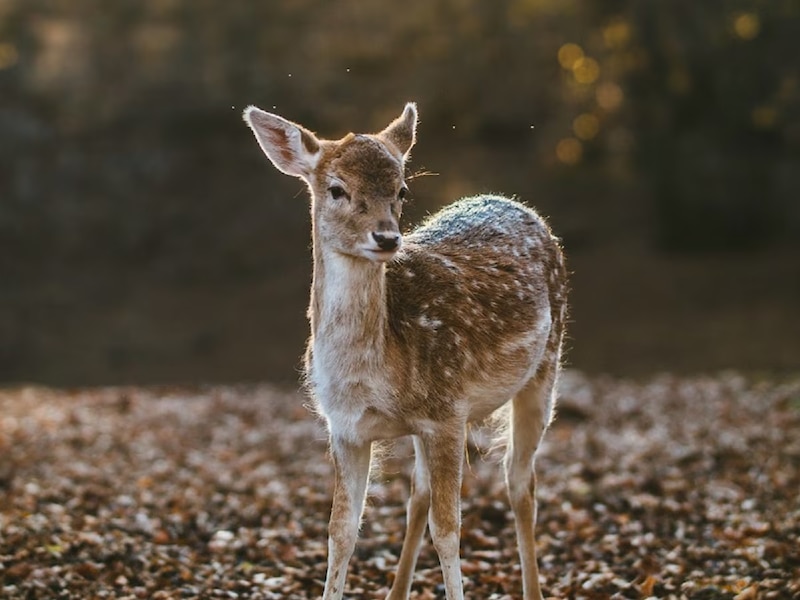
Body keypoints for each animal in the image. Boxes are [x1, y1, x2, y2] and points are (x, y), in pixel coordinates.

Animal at [243, 102, 568, 600]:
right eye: (336, 189)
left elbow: (449, 529)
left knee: (520, 483)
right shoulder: (346, 428)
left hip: (545, 366)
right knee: (418, 493)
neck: (371, 374)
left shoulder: (449, 412)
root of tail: (517, 204)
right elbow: (341, 531)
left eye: (401, 189)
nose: (387, 238)